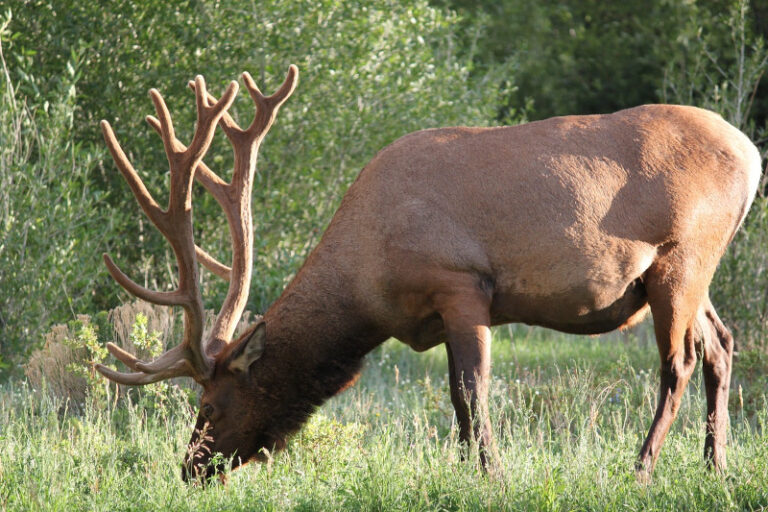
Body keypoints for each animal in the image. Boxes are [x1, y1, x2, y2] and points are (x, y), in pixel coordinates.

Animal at [95, 64, 762, 482]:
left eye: (209, 408)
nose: (189, 471)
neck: (367, 290)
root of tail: (752, 154)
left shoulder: (461, 283)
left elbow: (470, 392)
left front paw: (492, 476)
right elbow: (457, 400)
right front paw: (470, 470)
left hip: (681, 258)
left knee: (678, 362)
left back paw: (641, 469)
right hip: (691, 273)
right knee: (722, 344)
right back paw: (716, 466)